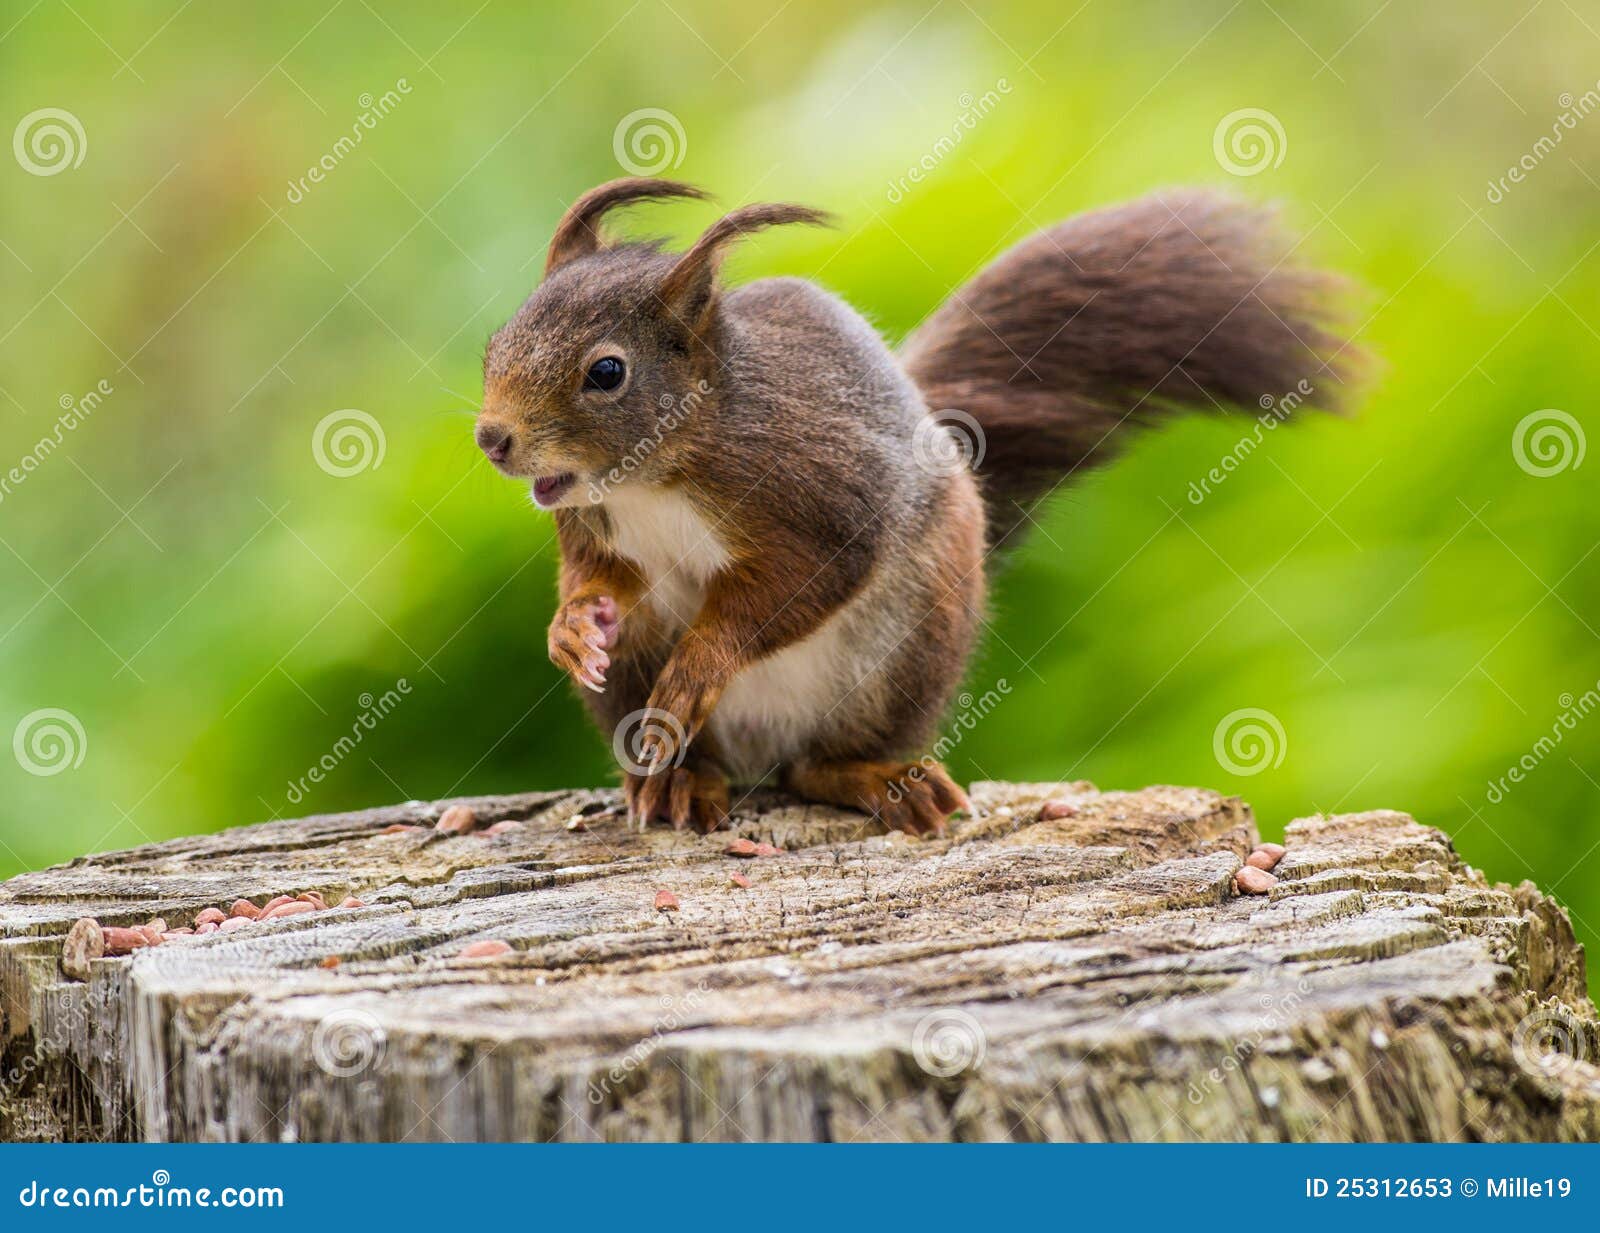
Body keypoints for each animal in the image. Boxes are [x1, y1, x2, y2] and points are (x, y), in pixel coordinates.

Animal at [476, 178, 1360, 836]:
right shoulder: (597, 529)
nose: (493, 438)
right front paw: (574, 625)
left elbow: (800, 580)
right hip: (632, 683)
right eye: (496, 342)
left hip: (911, 644)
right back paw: (680, 781)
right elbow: (605, 579)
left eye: (607, 372)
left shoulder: (822, 488)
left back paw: (869, 775)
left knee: (816, 765)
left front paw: (701, 662)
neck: (654, 473)